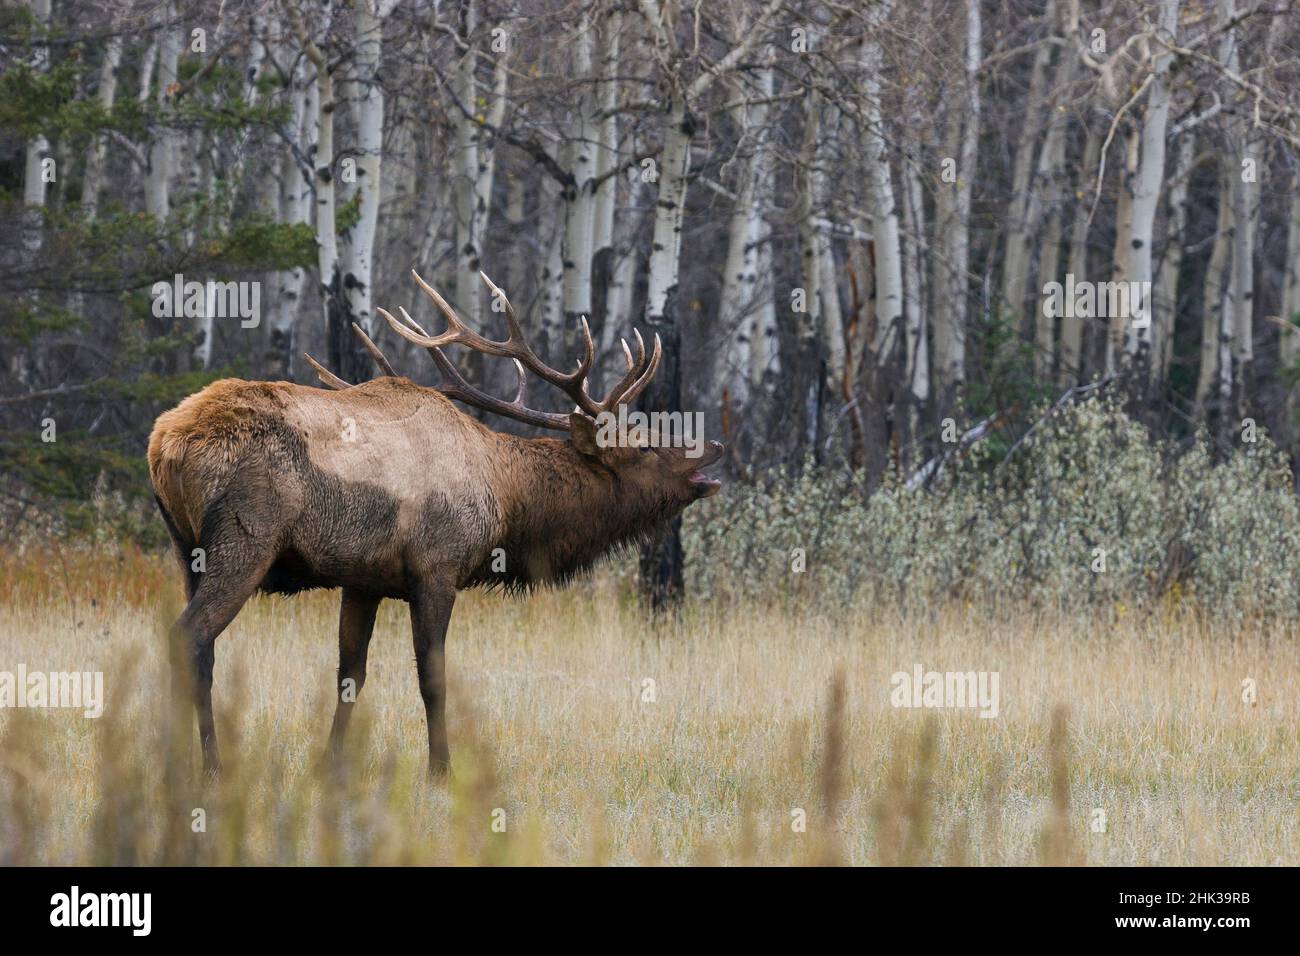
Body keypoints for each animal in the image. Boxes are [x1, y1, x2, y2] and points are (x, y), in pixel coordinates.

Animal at [148, 270, 723, 778]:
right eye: (645, 445)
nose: (712, 443)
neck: (506, 503)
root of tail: (166, 444)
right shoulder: (436, 568)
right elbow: (433, 677)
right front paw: (440, 769)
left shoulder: (363, 580)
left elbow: (350, 674)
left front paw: (330, 766)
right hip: (243, 540)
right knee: (189, 635)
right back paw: (203, 767)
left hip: (184, 549)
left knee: (202, 652)